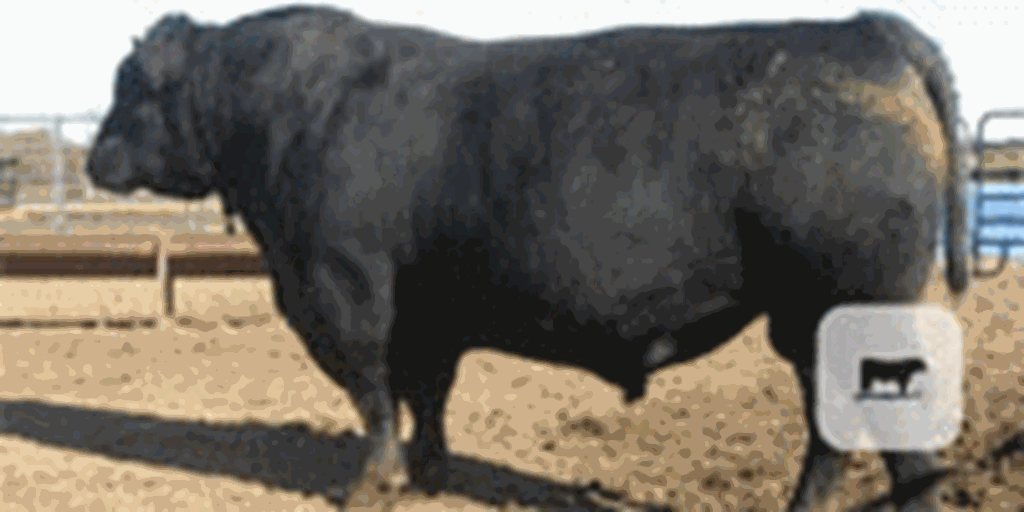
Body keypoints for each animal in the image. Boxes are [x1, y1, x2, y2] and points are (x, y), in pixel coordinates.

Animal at [85, 6, 968, 511]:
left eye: (129, 87)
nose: (94, 158)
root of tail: (863, 29)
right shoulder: (426, 308)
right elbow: (425, 391)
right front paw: (430, 473)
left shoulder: (341, 289)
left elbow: (373, 393)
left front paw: (372, 485)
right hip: (819, 321)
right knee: (850, 430)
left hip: (850, 311)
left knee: (884, 436)